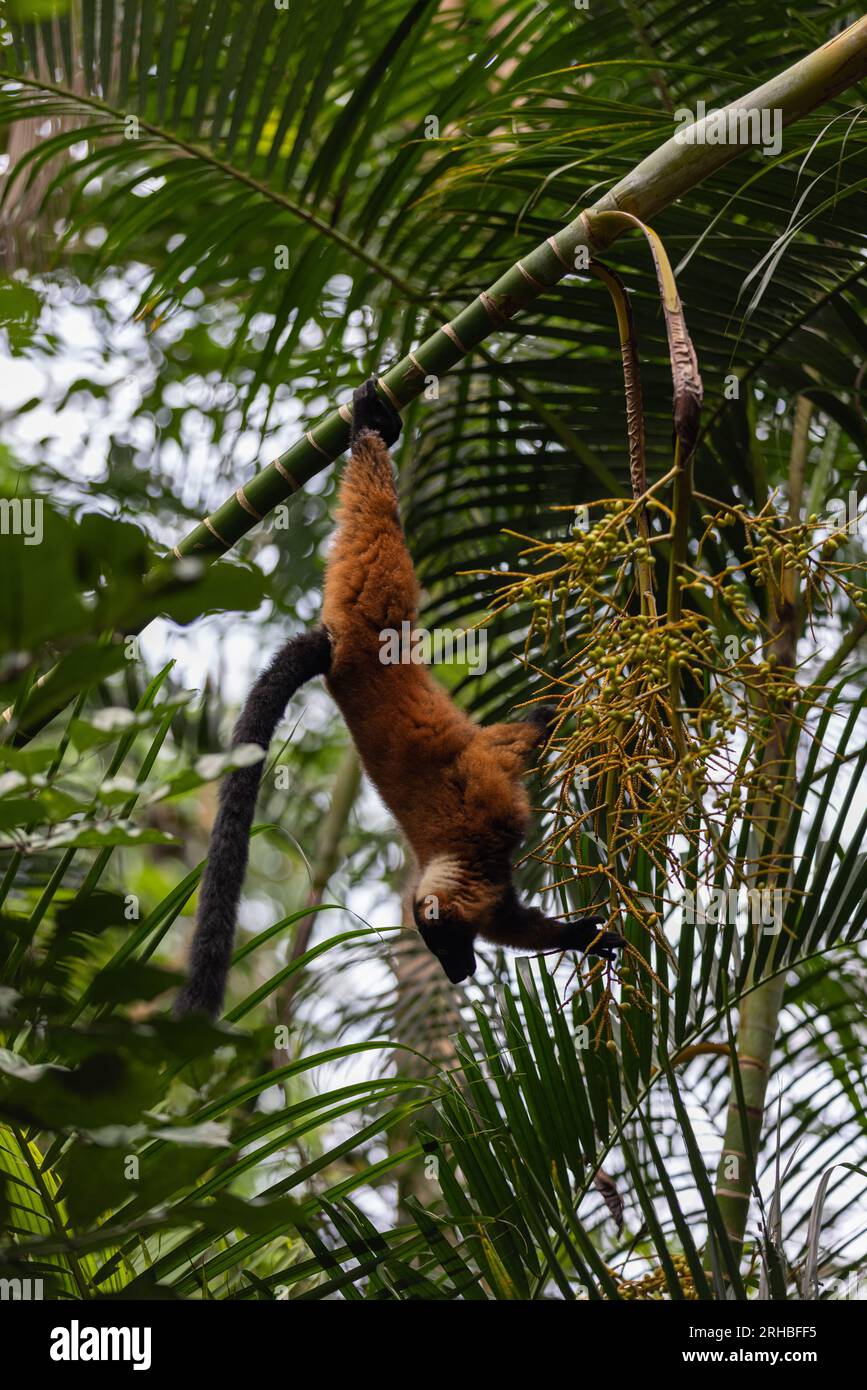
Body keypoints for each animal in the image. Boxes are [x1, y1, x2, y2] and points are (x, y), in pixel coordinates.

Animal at [175, 381, 624, 1019]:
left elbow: (508, 745)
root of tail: (336, 646)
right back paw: (370, 433)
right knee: (377, 531)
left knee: (376, 532)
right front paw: (581, 936)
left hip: (369, 611)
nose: (458, 974)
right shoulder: (490, 844)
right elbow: (512, 754)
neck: (468, 856)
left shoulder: (487, 812)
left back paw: (367, 431)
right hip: (369, 614)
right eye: (444, 952)